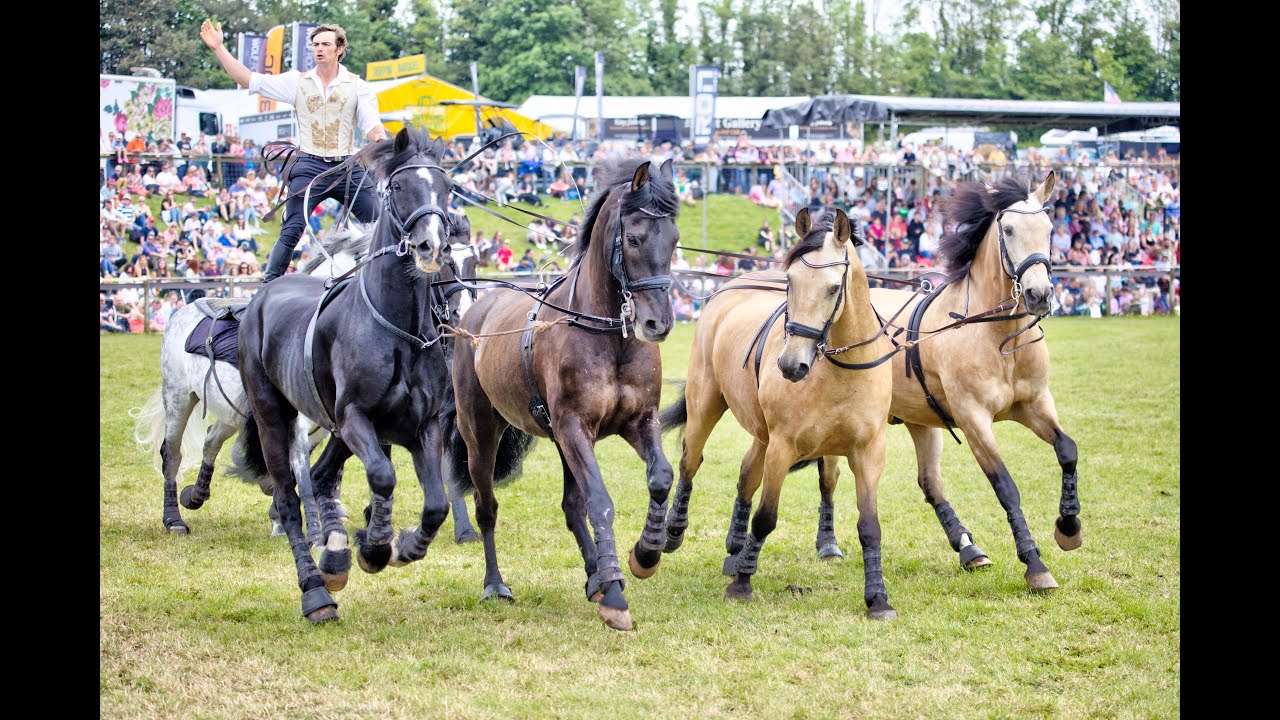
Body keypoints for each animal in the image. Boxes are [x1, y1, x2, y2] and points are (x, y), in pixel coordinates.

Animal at [230, 125, 460, 623]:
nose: (433, 247)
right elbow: (382, 477)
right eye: (398, 186)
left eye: (447, 187)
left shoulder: (423, 426)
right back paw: (316, 591)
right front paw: (374, 549)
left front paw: (403, 546)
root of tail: (262, 298)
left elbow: (436, 504)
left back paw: (334, 556)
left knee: (319, 476)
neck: (395, 329)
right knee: (289, 499)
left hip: (333, 430)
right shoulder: (356, 419)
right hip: (275, 417)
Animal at [443, 157, 680, 631]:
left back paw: (597, 577)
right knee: (486, 505)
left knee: (572, 506)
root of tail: (475, 312)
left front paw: (644, 555)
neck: (608, 334)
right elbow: (600, 503)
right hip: (482, 435)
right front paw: (616, 599)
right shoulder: (575, 428)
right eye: (635, 237)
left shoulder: (637, 421)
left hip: (558, 439)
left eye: (675, 239)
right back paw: (496, 585)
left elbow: (660, 477)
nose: (658, 324)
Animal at [657, 207, 898, 617]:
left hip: (762, 432)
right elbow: (766, 516)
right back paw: (675, 533)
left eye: (833, 288)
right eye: (790, 281)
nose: (790, 365)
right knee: (691, 460)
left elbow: (870, 527)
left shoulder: (869, 453)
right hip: (706, 402)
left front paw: (878, 598)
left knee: (746, 475)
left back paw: (736, 550)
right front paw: (742, 585)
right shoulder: (783, 446)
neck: (841, 368)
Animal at [768, 171, 1078, 591]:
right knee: (829, 477)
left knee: (930, 483)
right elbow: (1005, 486)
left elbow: (1067, 450)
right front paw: (1035, 564)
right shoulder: (973, 417)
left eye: (1048, 229)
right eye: (1009, 229)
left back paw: (969, 548)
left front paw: (1069, 527)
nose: (1039, 294)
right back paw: (828, 543)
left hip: (920, 419)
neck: (993, 334)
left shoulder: (1035, 404)